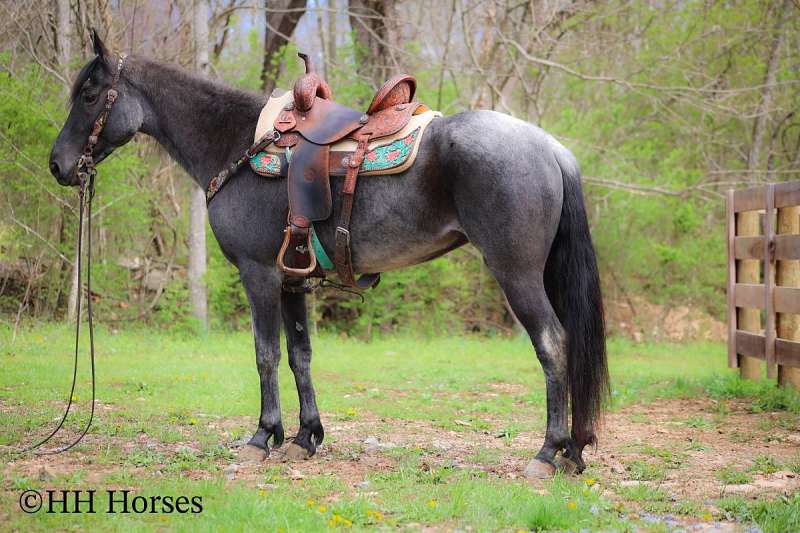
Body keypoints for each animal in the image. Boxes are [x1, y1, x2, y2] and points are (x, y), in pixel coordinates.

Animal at [48, 34, 608, 479]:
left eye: (90, 94)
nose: (57, 164)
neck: (238, 145)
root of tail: (550, 147)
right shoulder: (292, 279)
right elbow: (300, 354)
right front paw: (304, 437)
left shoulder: (259, 276)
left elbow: (265, 354)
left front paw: (262, 437)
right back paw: (574, 452)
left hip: (517, 274)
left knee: (553, 344)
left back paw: (547, 452)